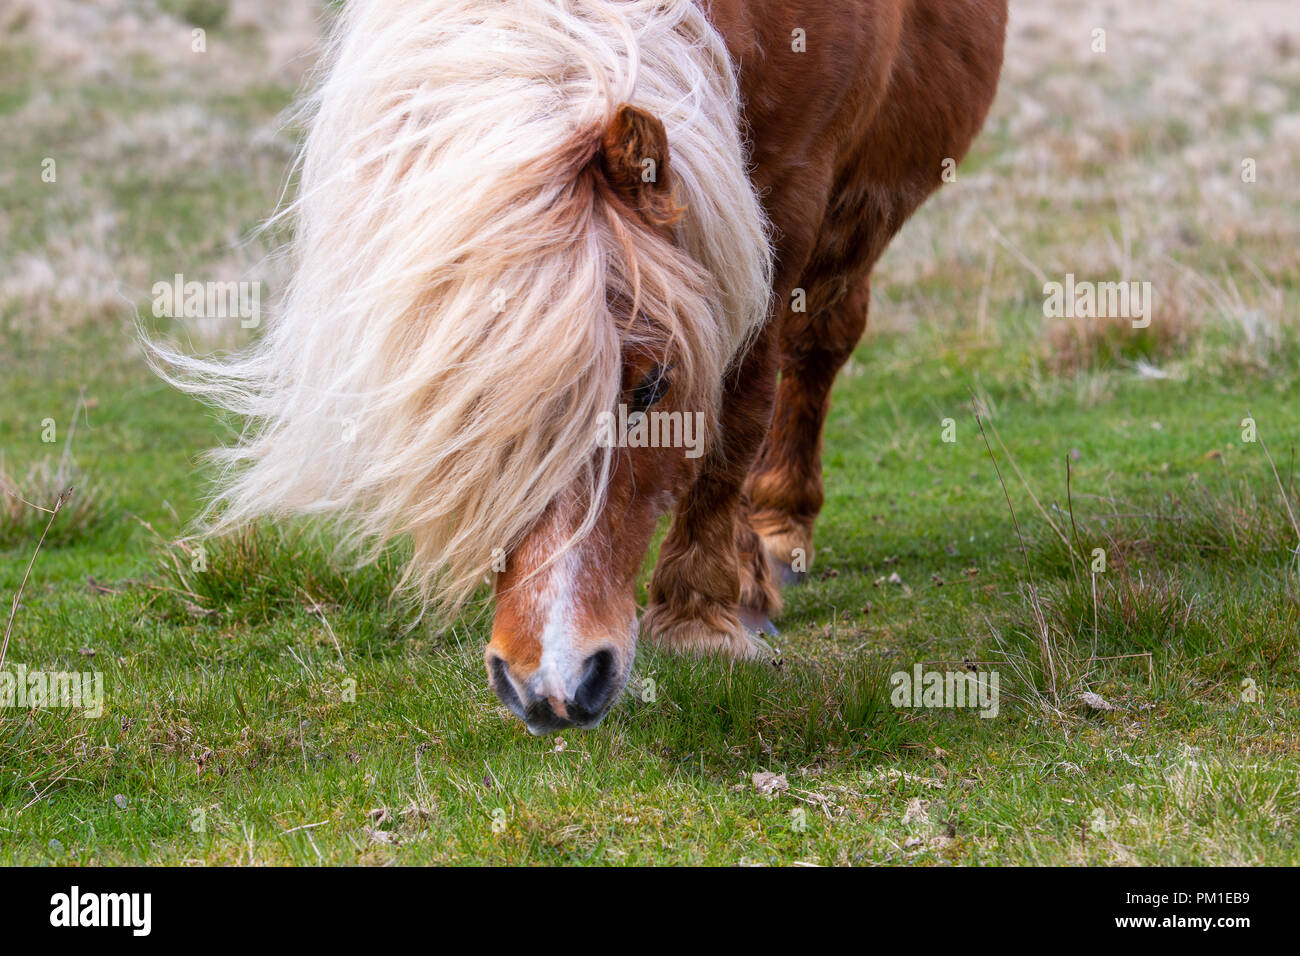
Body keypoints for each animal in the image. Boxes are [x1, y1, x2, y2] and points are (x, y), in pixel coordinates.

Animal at [157, 0, 1007, 734]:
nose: (554, 687)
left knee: (818, 346)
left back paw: (773, 539)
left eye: (653, 387)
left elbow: (738, 408)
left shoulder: (791, 199)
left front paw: (698, 619)